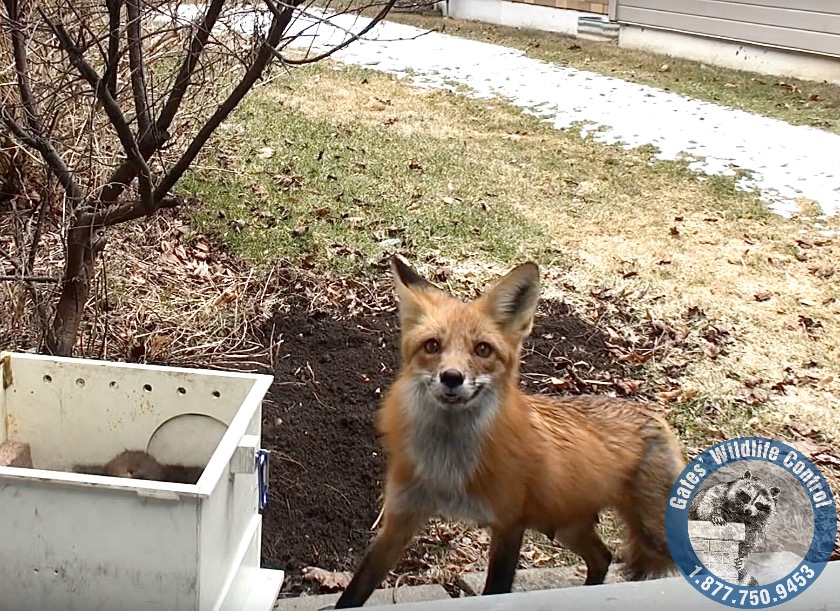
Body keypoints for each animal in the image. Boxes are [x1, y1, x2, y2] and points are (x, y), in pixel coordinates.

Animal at [334, 257, 686, 608]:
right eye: (432, 345)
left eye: (482, 350)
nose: (452, 377)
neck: (448, 468)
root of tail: (656, 416)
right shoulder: (401, 516)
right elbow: (355, 590)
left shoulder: (508, 522)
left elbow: (496, 589)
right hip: (566, 526)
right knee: (602, 557)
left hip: (648, 533)